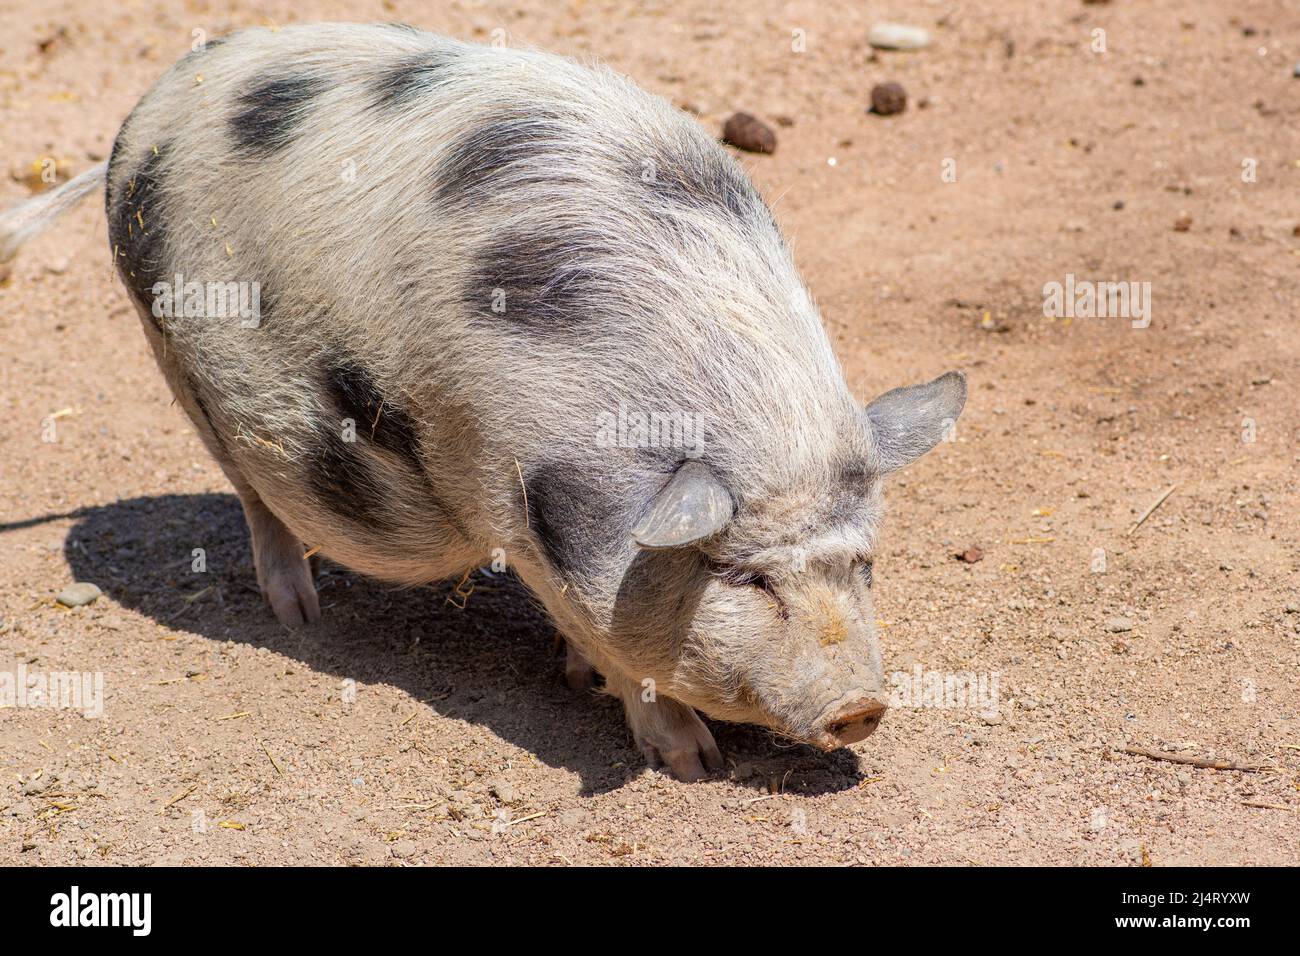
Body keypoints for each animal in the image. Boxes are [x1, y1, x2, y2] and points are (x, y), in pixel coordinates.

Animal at [0, 22, 966, 781]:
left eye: (863, 564)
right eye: (743, 576)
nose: (860, 708)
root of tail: (137, 121)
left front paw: (581, 681)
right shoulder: (505, 490)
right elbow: (609, 638)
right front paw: (690, 762)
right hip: (174, 359)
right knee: (254, 497)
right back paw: (300, 615)